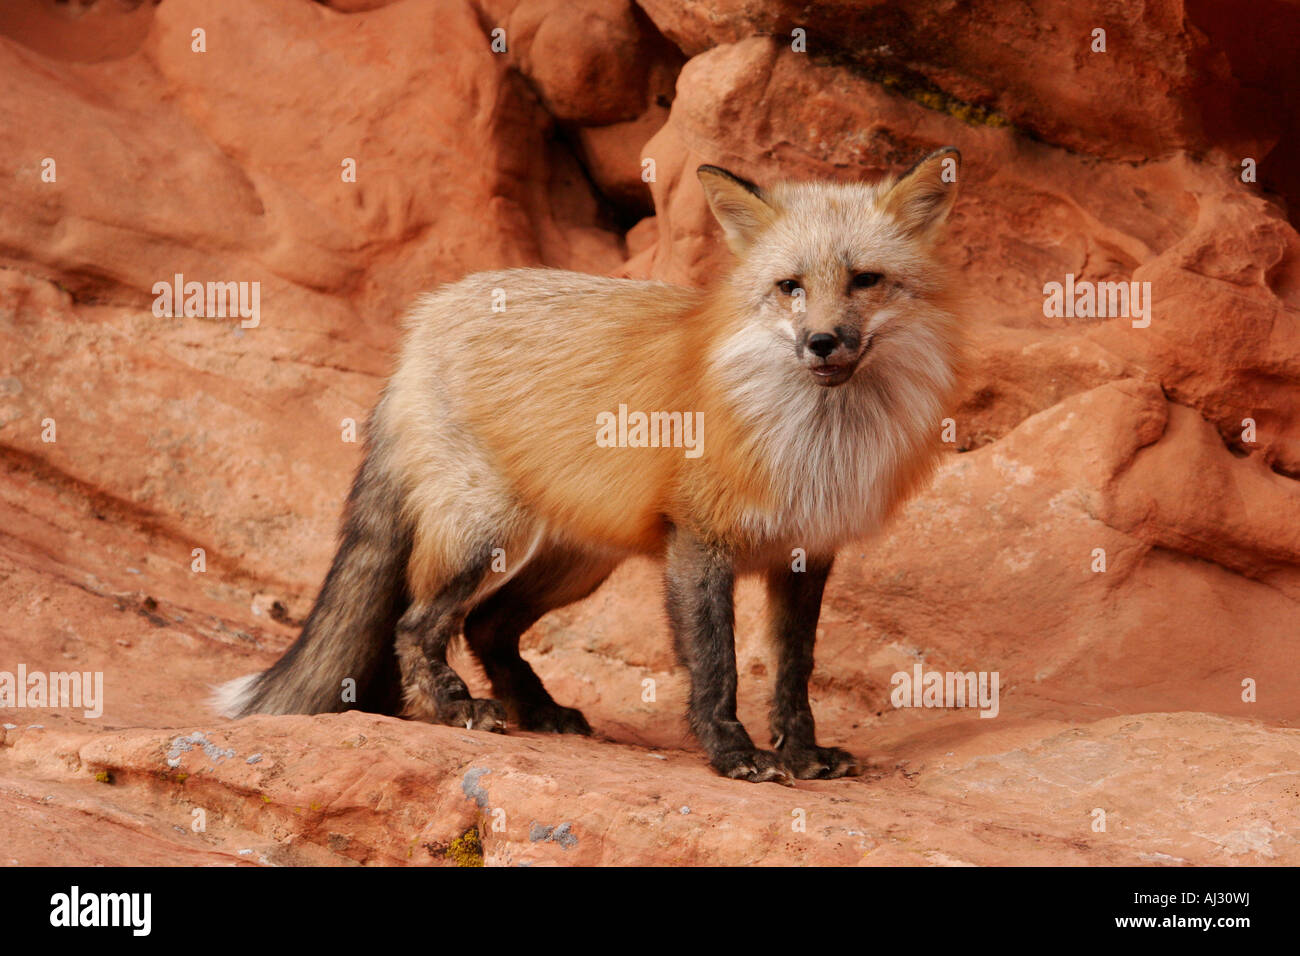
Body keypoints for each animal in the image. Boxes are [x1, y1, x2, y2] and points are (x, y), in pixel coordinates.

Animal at [214, 147, 964, 783]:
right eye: (790, 286)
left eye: (865, 281)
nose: (822, 342)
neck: (816, 439)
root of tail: (427, 314)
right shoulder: (699, 541)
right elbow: (716, 665)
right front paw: (733, 753)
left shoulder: (806, 554)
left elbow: (794, 670)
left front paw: (802, 752)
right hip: (489, 534)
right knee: (417, 622)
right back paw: (452, 709)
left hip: (575, 563)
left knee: (487, 627)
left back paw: (538, 710)